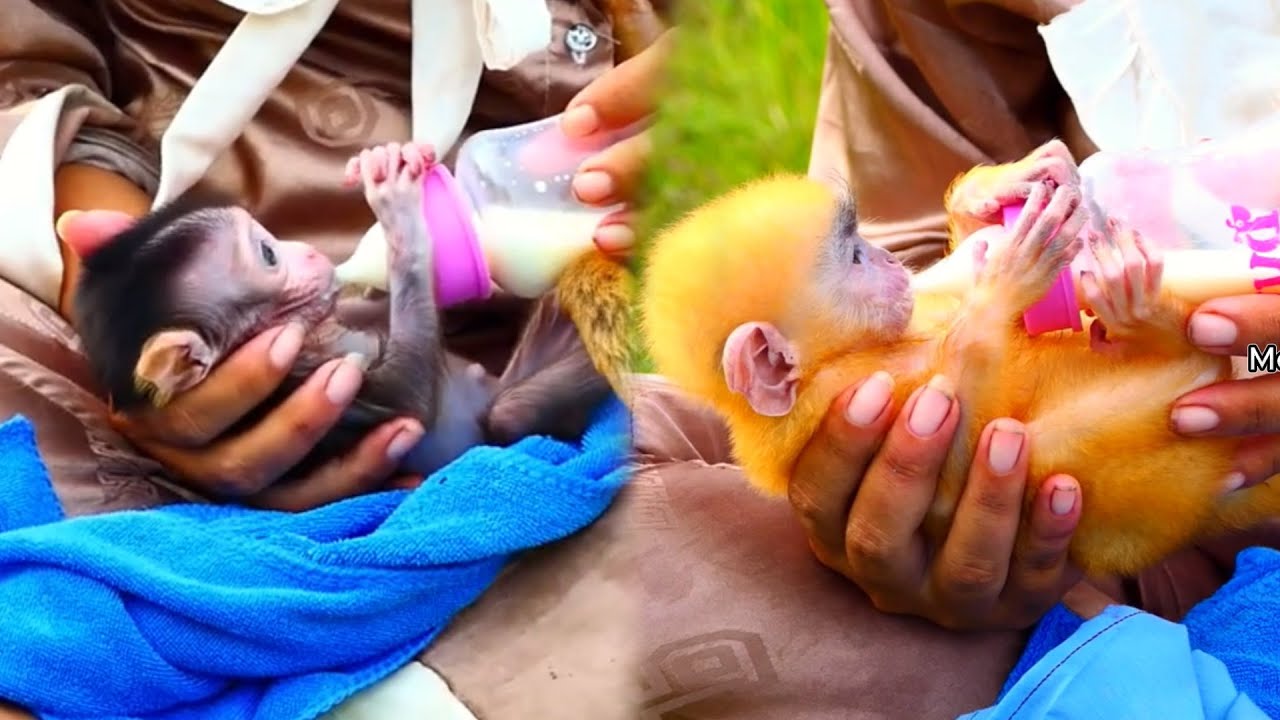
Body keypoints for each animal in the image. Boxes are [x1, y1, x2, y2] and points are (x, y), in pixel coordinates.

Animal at [69, 141, 613, 490]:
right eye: (269, 253)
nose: (311, 251)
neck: (314, 337)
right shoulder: (312, 382)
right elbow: (411, 400)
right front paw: (401, 216)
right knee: (508, 413)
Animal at [639, 138, 1280, 578]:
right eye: (855, 258)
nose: (889, 261)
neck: (849, 353)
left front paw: (997, 195)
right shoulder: (834, 402)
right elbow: (956, 469)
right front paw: (1009, 280)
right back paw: (1148, 320)